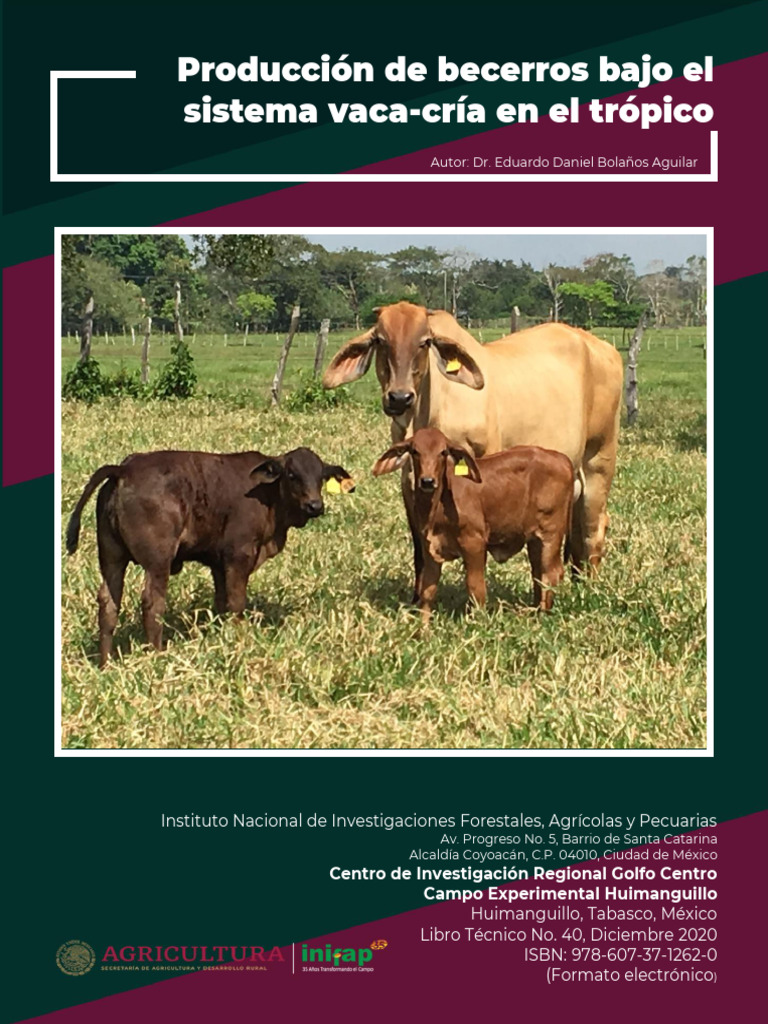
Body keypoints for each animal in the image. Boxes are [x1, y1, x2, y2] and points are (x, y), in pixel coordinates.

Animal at [66, 447, 353, 666]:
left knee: (108, 603)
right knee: (152, 603)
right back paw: (157, 655)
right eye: (292, 475)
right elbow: (236, 603)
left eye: (321, 477)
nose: (315, 506)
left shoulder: (218, 562)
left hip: (111, 557)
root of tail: (124, 468)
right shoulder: (239, 555)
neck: (269, 497)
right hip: (157, 562)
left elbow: (221, 602)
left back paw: (106, 664)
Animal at [323, 302, 623, 598]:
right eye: (380, 340)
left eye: (425, 342)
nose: (399, 397)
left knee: (594, 524)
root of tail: (600, 346)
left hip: (599, 458)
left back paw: (590, 588)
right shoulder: (408, 479)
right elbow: (419, 548)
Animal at [372, 428, 575, 621]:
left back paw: (542, 616)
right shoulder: (429, 547)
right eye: (415, 451)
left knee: (550, 574)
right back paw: (535, 610)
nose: (427, 481)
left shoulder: (474, 543)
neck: (437, 506)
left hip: (551, 533)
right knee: (538, 573)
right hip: (534, 540)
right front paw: (423, 627)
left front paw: (479, 621)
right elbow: (428, 590)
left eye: (443, 452)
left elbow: (475, 588)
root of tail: (563, 459)